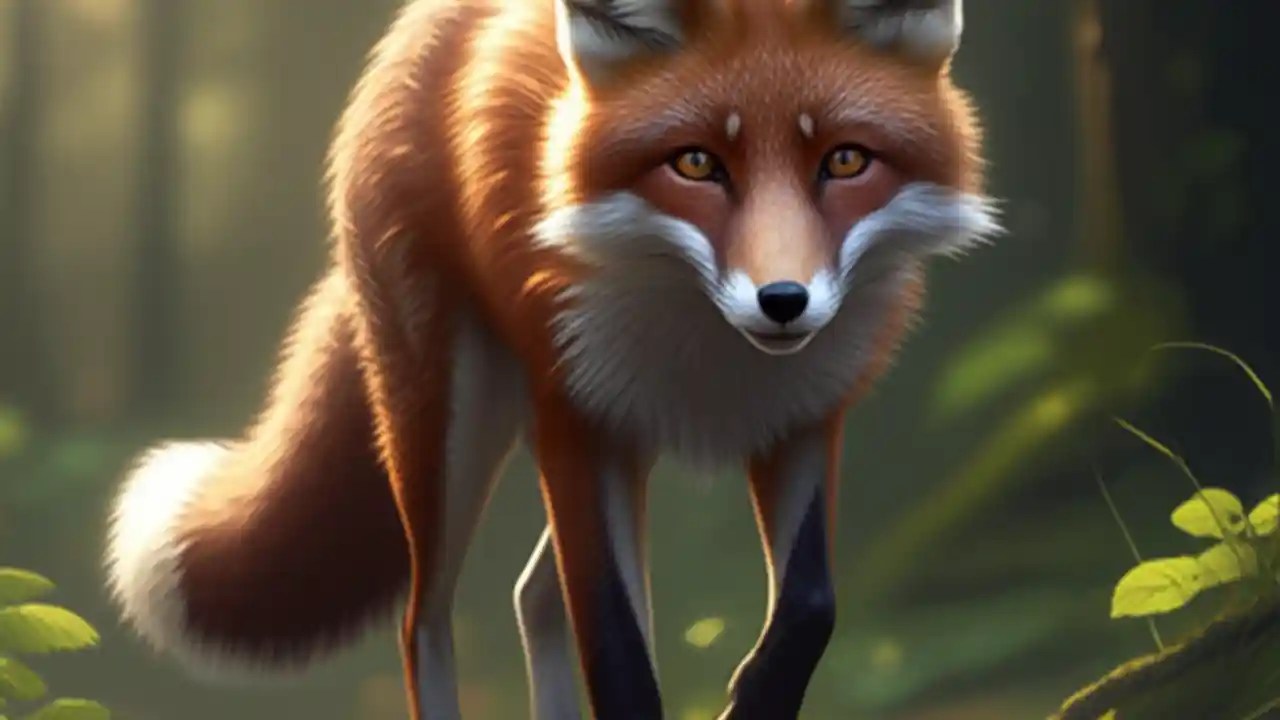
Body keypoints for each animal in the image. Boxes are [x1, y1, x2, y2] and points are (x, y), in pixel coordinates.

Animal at [104, 0, 999, 718]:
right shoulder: (576, 422)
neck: (714, 358)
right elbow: (617, 655)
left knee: (531, 594)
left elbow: (811, 606)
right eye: (696, 162)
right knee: (425, 619)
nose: (783, 300)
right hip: (454, 426)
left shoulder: (804, 420)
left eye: (845, 160)